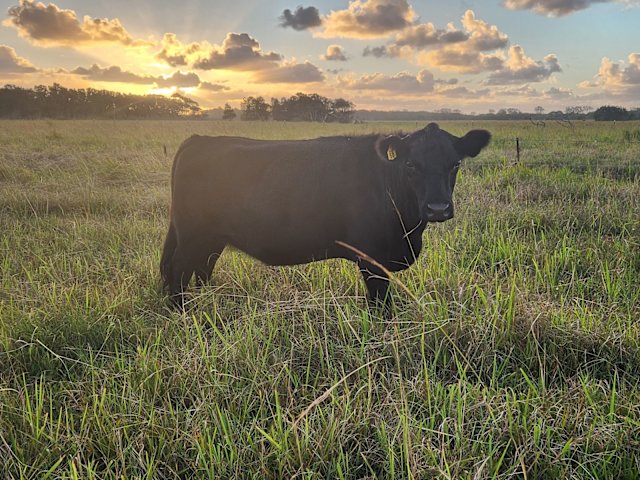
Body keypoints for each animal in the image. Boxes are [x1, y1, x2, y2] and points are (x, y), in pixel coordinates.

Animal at [160, 123, 491, 317]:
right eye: (410, 164)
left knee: (202, 268)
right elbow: (381, 304)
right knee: (179, 269)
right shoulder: (371, 259)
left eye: (455, 163)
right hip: (193, 235)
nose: (438, 208)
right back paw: (182, 312)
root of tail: (199, 139)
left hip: (212, 238)